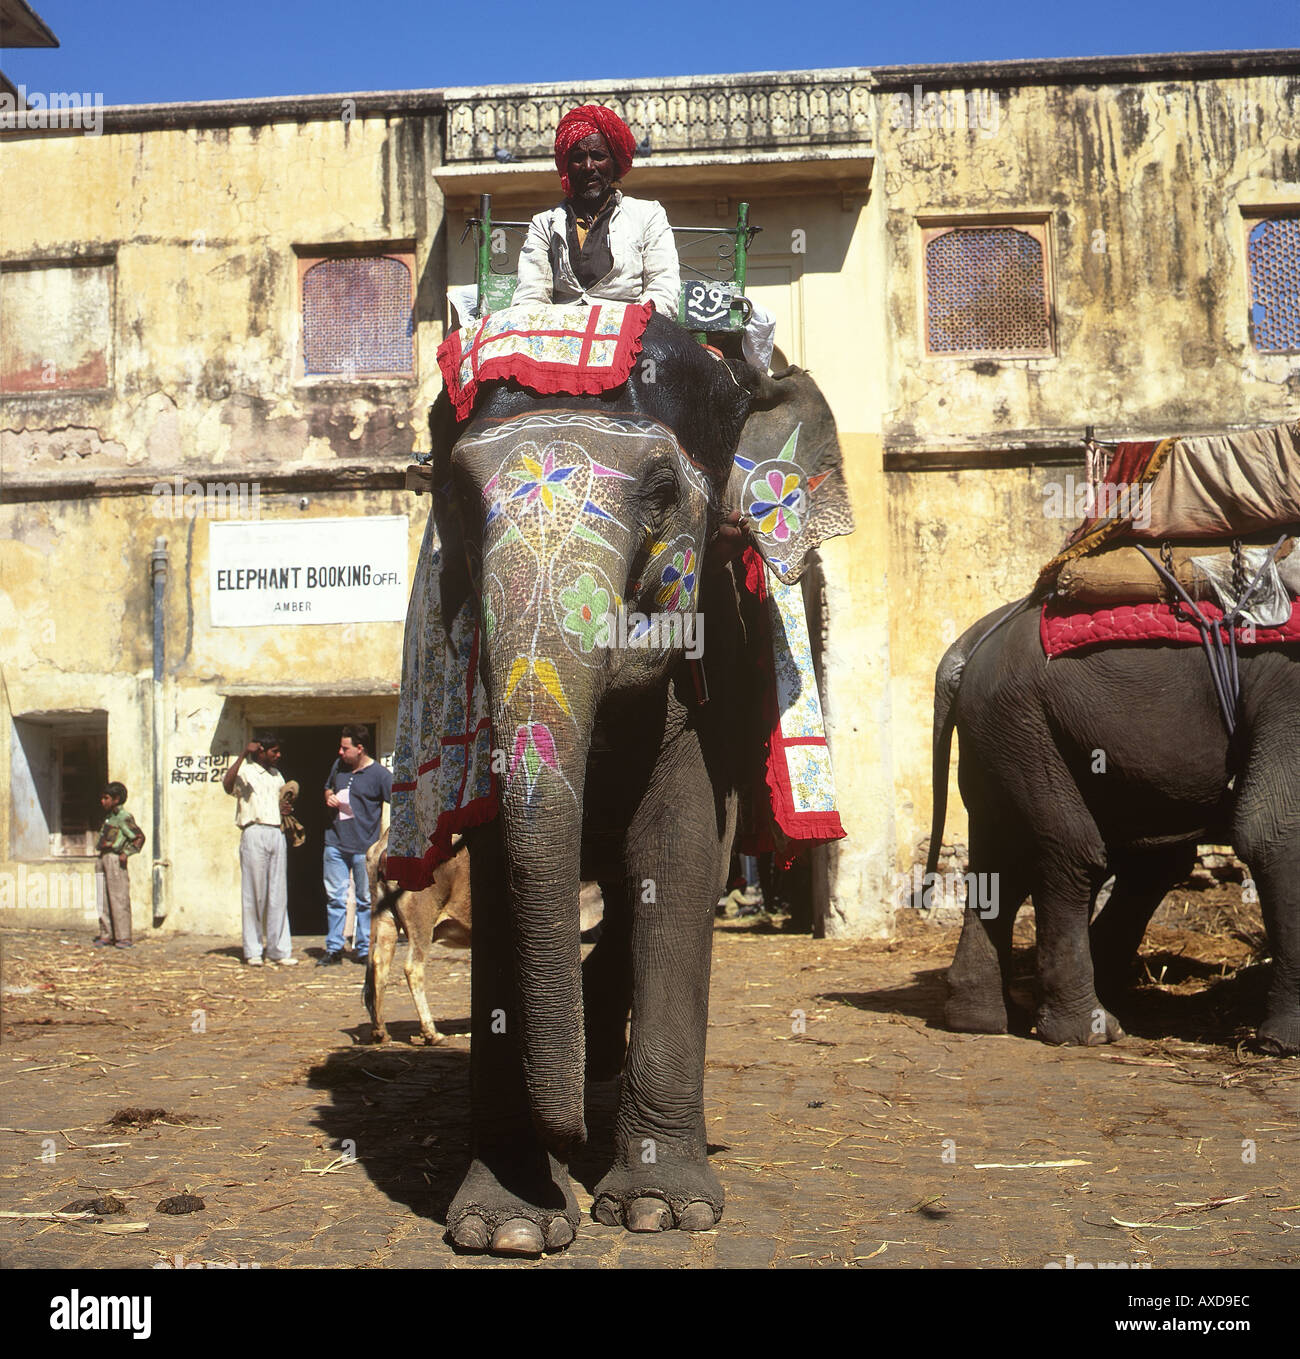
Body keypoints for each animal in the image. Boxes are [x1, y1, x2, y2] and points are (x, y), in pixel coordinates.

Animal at [399, 310, 852, 1255]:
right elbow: (502, 871)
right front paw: (511, 1225)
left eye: (660, 490)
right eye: (454, 495)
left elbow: (677, 855)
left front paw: (660, 1210)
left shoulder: (716, 671)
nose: (567, 1133)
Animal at [924, 598, 1300, 1056]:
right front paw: (1285, 1045)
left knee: (1005, 860)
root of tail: (970, 641)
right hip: (1021, 721)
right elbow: (1273, 831)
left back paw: (983, 1019)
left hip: (1002, 735)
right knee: (1071, 853)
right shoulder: (1289, 689)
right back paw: (1089, 1030)